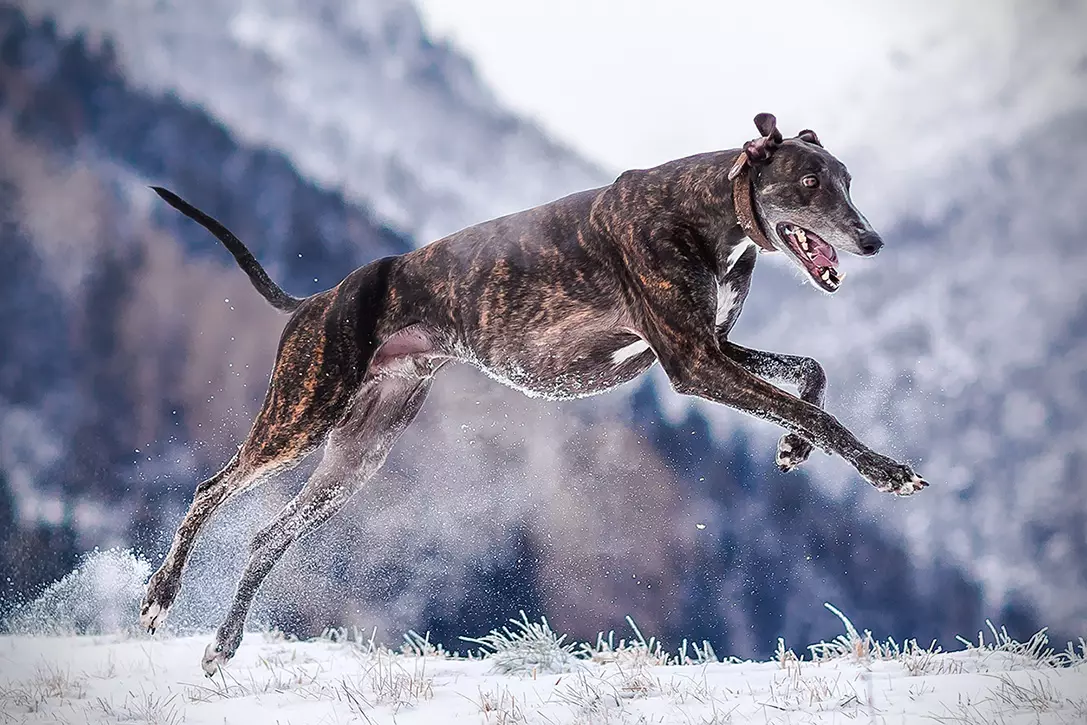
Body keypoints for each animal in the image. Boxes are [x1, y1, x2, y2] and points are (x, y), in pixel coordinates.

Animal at [140, 113, 930, 673]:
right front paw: (885, 470)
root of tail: (316, 298)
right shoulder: (692, 362)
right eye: (809, 185)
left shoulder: (708, 348)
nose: (872, 241)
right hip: (303, 410)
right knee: (211, 489)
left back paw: (222, 645)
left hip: (357, 454)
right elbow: (807, 404)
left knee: (266, 534)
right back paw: (158, 598)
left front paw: (795, 446)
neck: (704, 208)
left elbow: (809, 374)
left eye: (848, 180)